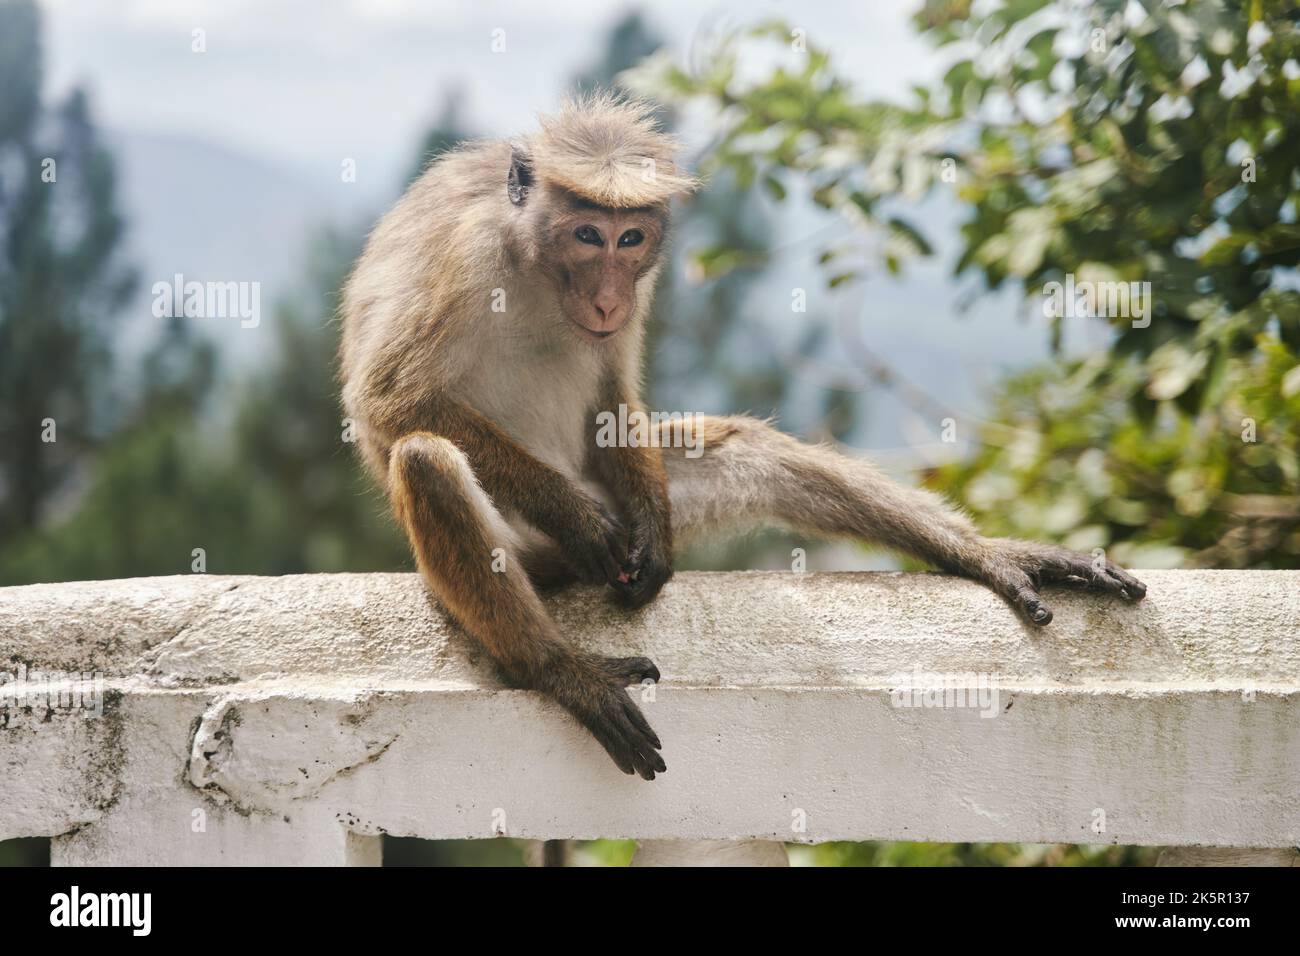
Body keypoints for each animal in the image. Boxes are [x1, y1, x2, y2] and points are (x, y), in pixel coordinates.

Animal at [339, 94, 1147, 781]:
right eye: (586, 235)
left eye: (629, 239)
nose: (607, 298)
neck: (533, 264)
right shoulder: (467, 254)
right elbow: (390, 401)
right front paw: (576, 519)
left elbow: (613, 395)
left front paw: (649, 528)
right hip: (529, 547)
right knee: (426, 460)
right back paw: (557, 669)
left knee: (746, 451)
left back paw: (985, 554)